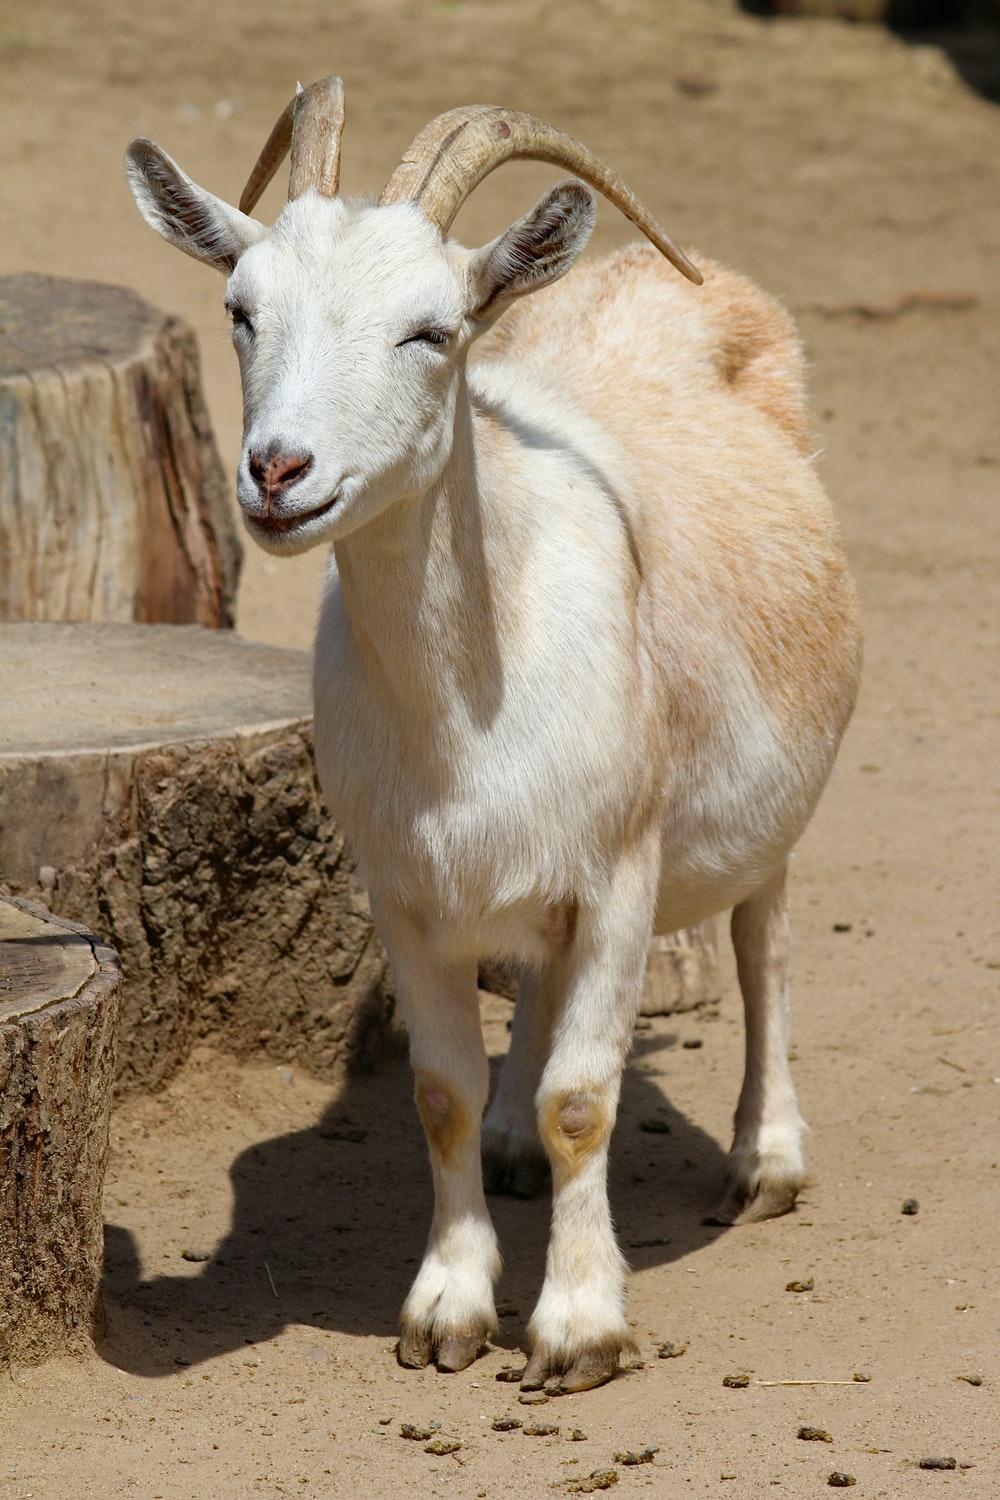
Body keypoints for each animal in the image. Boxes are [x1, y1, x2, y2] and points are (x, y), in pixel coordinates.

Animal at [125, 76, 862, 1393]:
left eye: (430, 331)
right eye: (240, 310)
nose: (277, 472)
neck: (472, 694)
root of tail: (686, 285)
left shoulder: (619, 874)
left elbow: (588, 1098)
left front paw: (576, 1328)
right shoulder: (405, 889)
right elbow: (440, 1093)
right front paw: (450, 1308)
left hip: (767, 807)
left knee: (763, 943)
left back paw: (763, 1161)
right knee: (538, 981)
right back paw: (520, 1146)